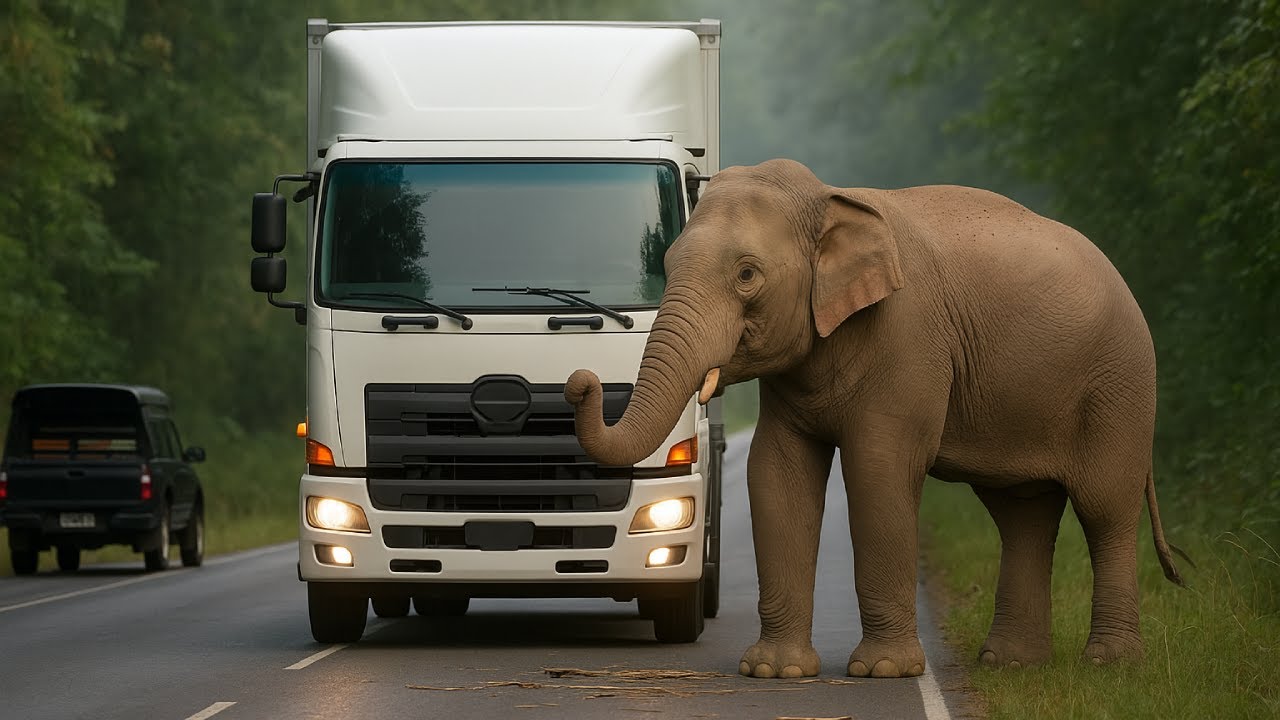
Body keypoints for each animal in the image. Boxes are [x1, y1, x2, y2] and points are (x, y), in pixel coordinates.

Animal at [565, 158, 1185, 679]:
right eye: (666, 266)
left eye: (747, 275)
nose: (580, 381)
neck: (825, 199)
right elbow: (776, 474)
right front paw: (772, 671)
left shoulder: (906, 340)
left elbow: (878, 474)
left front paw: (883, 671)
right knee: (1022, 514)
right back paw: (1010, 664)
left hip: (1120, 384)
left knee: (1104, 508)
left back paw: (1110, 664)